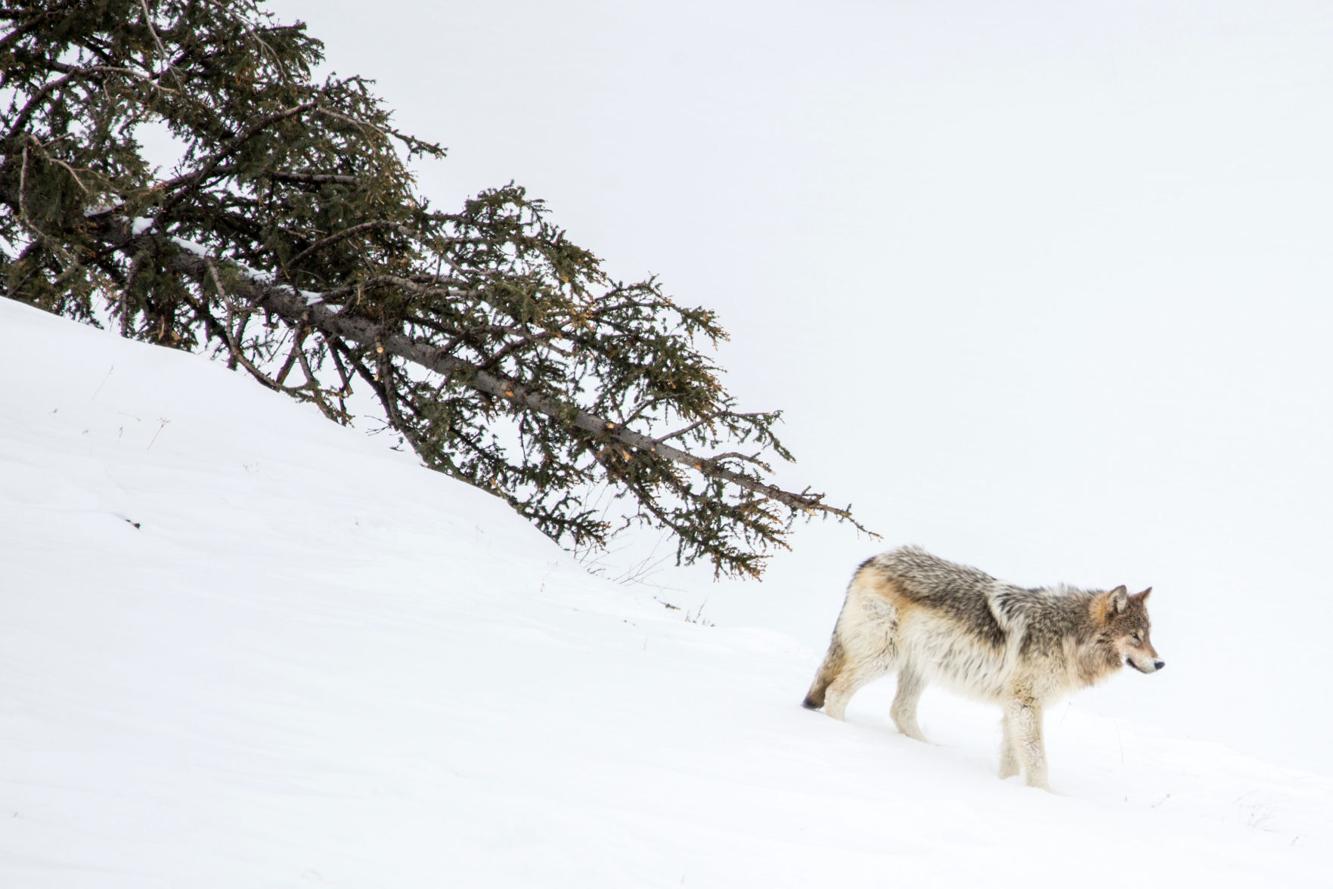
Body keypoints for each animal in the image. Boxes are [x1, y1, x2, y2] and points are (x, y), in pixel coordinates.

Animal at [802, 546, 1163, 789]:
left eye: (1148, 635)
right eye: (1135, 636)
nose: (1160, 663)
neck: (1068, 634)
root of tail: (873, 559)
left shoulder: (1015, 707)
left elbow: (1012, 760)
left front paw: (1008, 788)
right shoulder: (1025, 705)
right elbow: (1037, 761)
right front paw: (1046, 795)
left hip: (919, 666)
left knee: (899, 711)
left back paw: (927, 748)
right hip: (883, 657)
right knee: (836, 693)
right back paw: (843, 734)